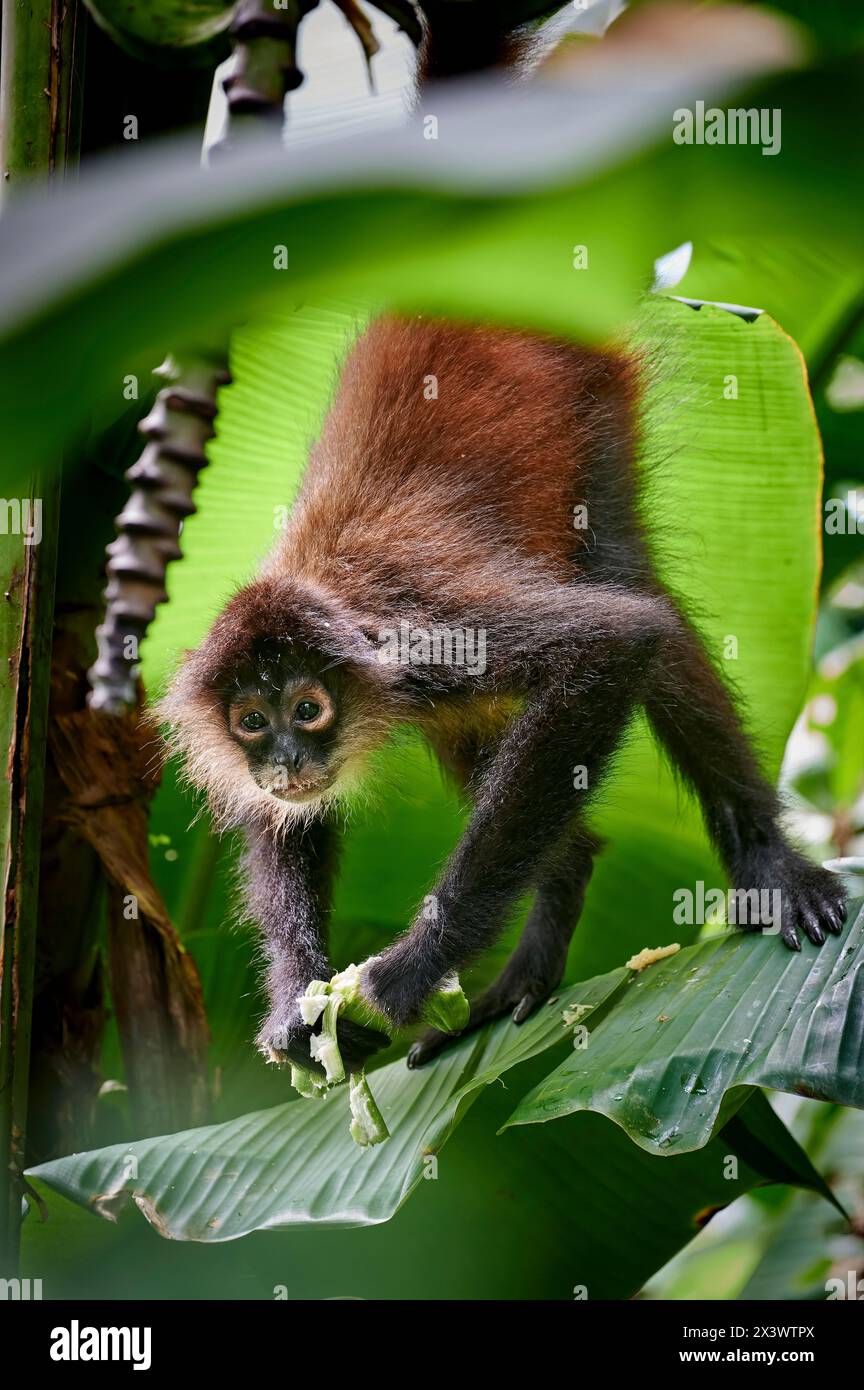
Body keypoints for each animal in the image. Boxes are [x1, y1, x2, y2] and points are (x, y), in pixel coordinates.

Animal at [159, 313, 848, 1076]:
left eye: (308, 709)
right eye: (251, 721)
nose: (285, 761)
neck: (326, 588)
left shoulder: (422, 633)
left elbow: (618, 638)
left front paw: (407, 975)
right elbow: (284, 819)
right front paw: (299, 1009)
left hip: (593, 403)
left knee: (630, 583)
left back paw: (768, 864)